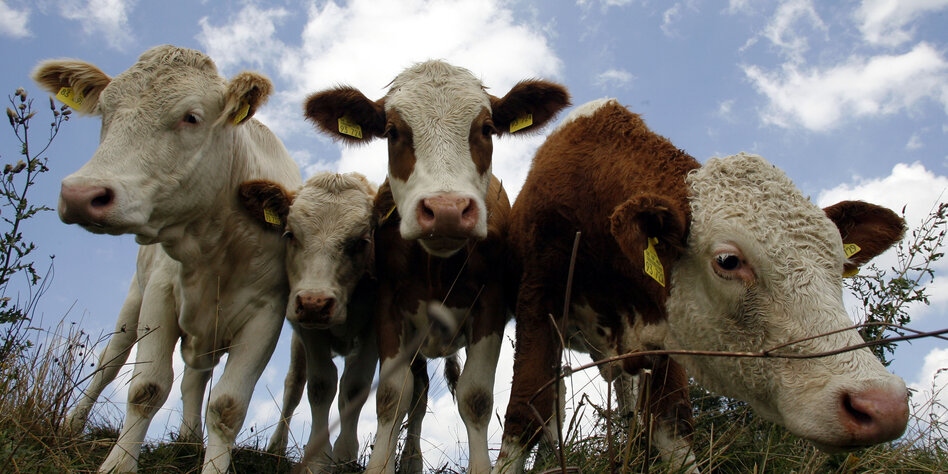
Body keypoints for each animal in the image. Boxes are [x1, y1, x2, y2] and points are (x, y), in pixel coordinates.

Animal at [33, 45, 300, 474]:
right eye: (105, 112)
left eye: (191, 116)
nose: (80, 194)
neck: (213, 247)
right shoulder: (160, 293)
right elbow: (147, 387)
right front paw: (117, 464)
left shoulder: (267, 313)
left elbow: (227, 405)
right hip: (133, 300)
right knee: (110, 362)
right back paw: (74, 423)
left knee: (195, 378)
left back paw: (189, 439)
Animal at [237, 172, 378, 472]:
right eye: (290, 234)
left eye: (362, 241)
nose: (315, 302)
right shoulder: (306, 328)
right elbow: (320, 385)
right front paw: (318, 458)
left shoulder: (375, 327)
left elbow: (355, 387)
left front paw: (345, 456)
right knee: (294, 386)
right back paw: (276, 448)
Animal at [306, 61, 572, 472]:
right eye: (392, 131)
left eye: (486, 128)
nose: (447, 211)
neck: (438, 266)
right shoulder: (389, 306)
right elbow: (392, 397)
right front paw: (381, 465)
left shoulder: (490, 304)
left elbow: (475, 398)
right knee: (418, 396)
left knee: (553, 386)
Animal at [492, 98, 908, 472]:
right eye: (728, 261)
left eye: (838, 264)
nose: (883, 405)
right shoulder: (537, 304)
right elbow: (524, 416)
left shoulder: (665, 328)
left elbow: (673, 428)